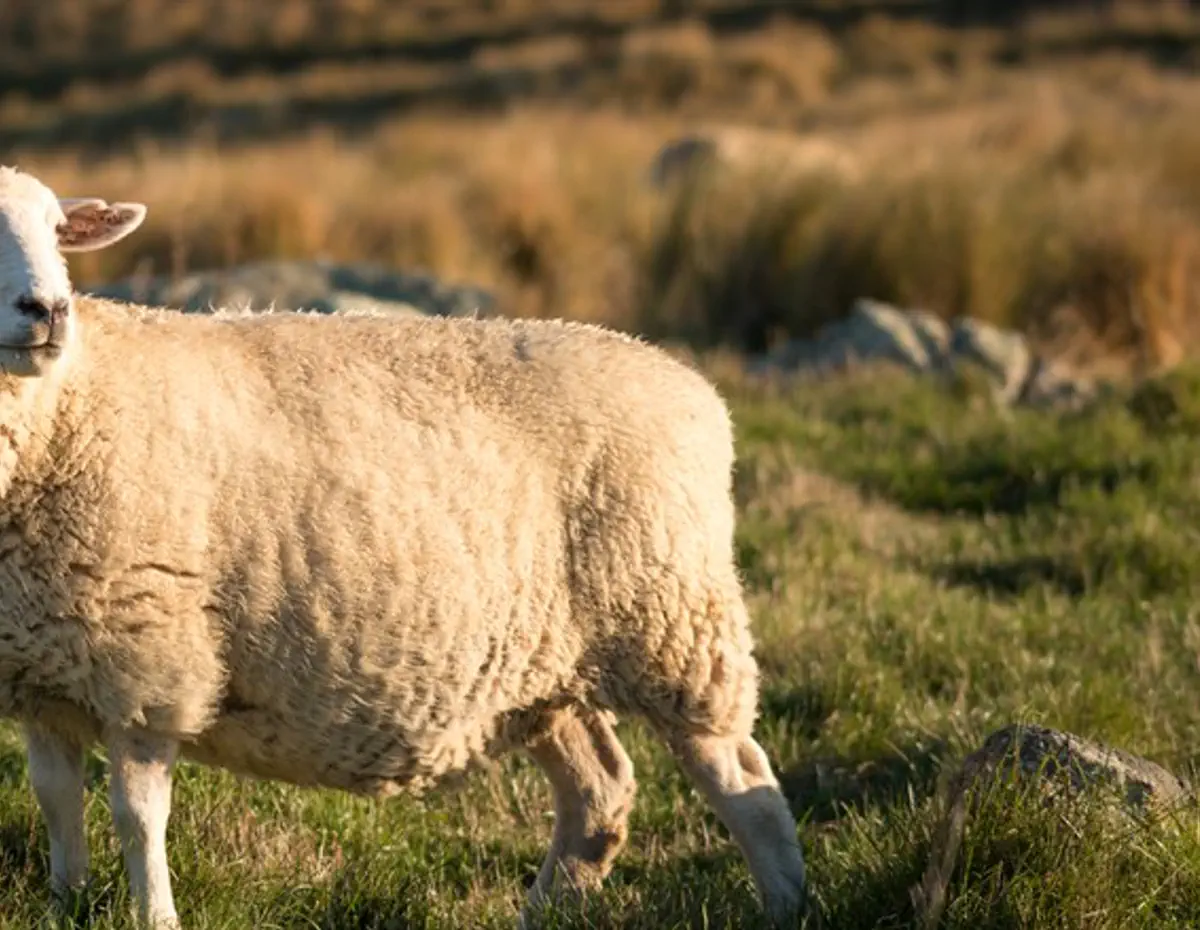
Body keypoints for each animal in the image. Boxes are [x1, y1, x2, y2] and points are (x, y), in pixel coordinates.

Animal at [0, 165, 808, 929]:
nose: (49, 311)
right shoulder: (44, 668)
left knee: (744, 783)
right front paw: (64, 905)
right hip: (546, 666)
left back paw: (786, 907)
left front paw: (155, 917)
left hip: (673, 622)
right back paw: (544, 912)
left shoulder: (149, 668)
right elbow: (55, 803)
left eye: (58, 231)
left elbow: (138, 819)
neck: (69, 405)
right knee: (599, 792)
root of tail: (690, 385)